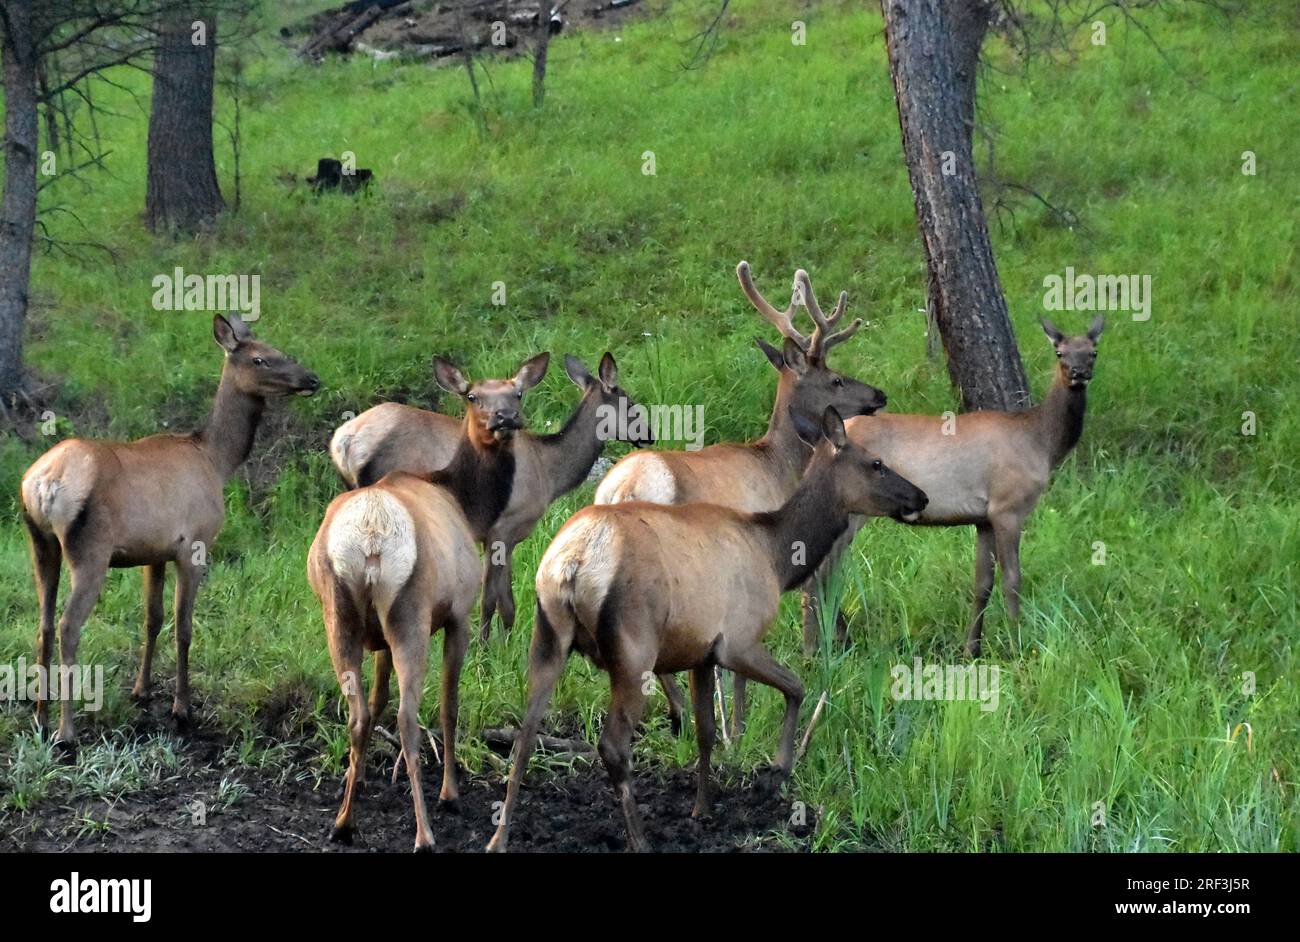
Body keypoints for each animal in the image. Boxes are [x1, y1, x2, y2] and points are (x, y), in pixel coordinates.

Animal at [19, 315, 320, 755]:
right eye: (260, 358)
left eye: (280, 349)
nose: (311, 378)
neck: (216, 460)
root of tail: (44, 482)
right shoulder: (193, 544)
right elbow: (184, 626)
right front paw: (182, 708)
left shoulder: (154, 553)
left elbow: (152, 618)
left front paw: (141, 691)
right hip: (90, 550)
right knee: (67, 625)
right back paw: (66, 731)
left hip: (40, 541)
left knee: (42, 621)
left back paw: (41, 717)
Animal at [308, 353, 549, 852]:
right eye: (473, 395)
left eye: (516, 392)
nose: (505, 419)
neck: (468, 505)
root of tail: (369, 541)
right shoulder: (459, 613)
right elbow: (450, 703)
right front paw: (450, 793)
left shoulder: (377, 639)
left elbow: (377, 698)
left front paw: (360, 780)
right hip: (409, 612)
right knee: (408, 715)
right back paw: (424, 833)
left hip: (337, 610)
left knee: (359, 712)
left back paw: (344, 821)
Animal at [330, 352, 651, 642]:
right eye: (631, 404)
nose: (648, 434)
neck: (550, 473)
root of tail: (343, 442)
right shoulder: (503, 527)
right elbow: (492, 598)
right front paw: (486, 647)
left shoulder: (502, 535)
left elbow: (506, 599)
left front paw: (503, 642)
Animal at [486, 407, 927, 853]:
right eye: (876, 463)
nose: (919, 497)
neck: (778, 559)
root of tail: (573, 562)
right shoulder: (738, 641)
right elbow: (795, 687)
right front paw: (775, 774)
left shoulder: (701, 652)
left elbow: (707, 731)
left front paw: (702, 808)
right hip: (633, 647)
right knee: (613, 744)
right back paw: (639, 839)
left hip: (547, 635)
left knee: (525, 733)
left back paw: (499, 837)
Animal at [810, 315, 1105, 659]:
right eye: (1059, 352)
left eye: (1093, 351)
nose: (1079, 373)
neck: (1041, 443)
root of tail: (821, 443)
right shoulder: (1008, 507)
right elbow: (1013, 580)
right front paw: (1017, 645)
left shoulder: (984, 518)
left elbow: (982, 584)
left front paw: (971, 649)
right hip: (854, 509)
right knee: (821, 571)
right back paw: (829, 644)